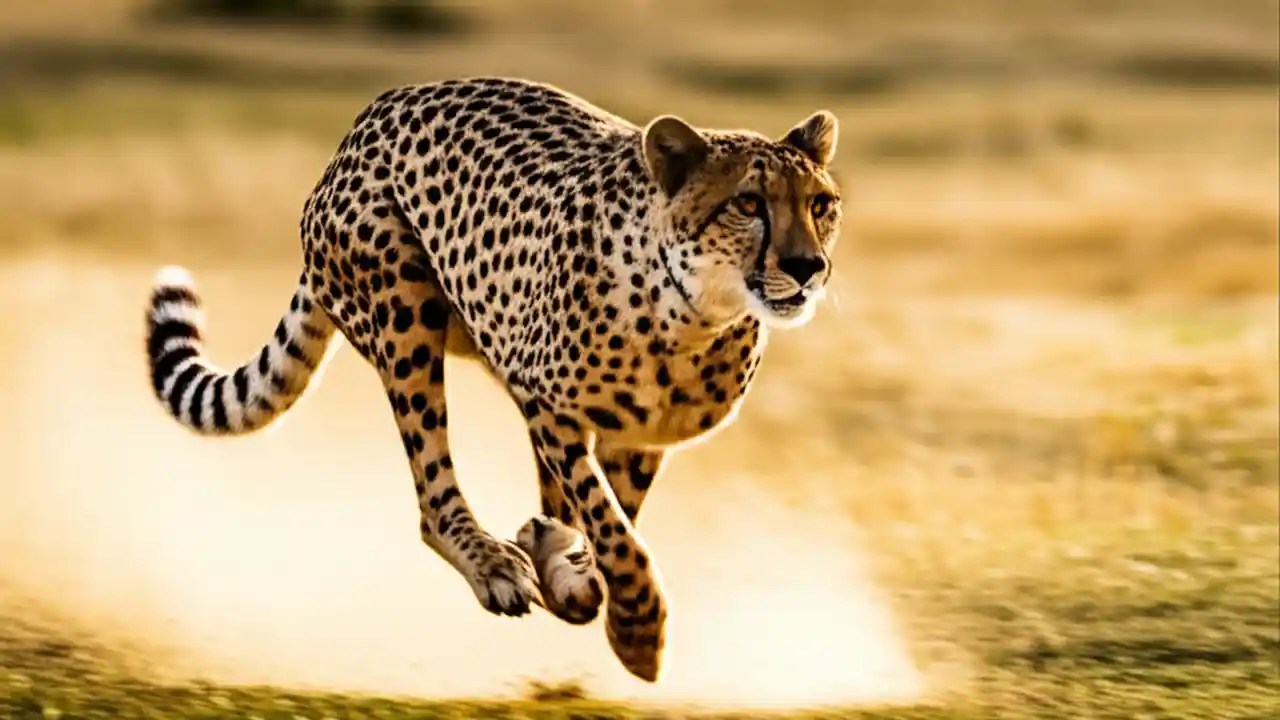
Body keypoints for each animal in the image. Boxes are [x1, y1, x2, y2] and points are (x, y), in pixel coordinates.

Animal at [144, 77, 841, 681]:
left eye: (820, 205)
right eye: (748, 203)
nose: (808, 266)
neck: (696, 315)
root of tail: (370, 116)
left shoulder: (636, 437)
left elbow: (609, 520)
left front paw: (573, 576)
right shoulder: (546, 402)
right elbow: (616, 530)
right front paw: (638, 632)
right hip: (402, 303)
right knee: (432, 491)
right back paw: (490, 561)